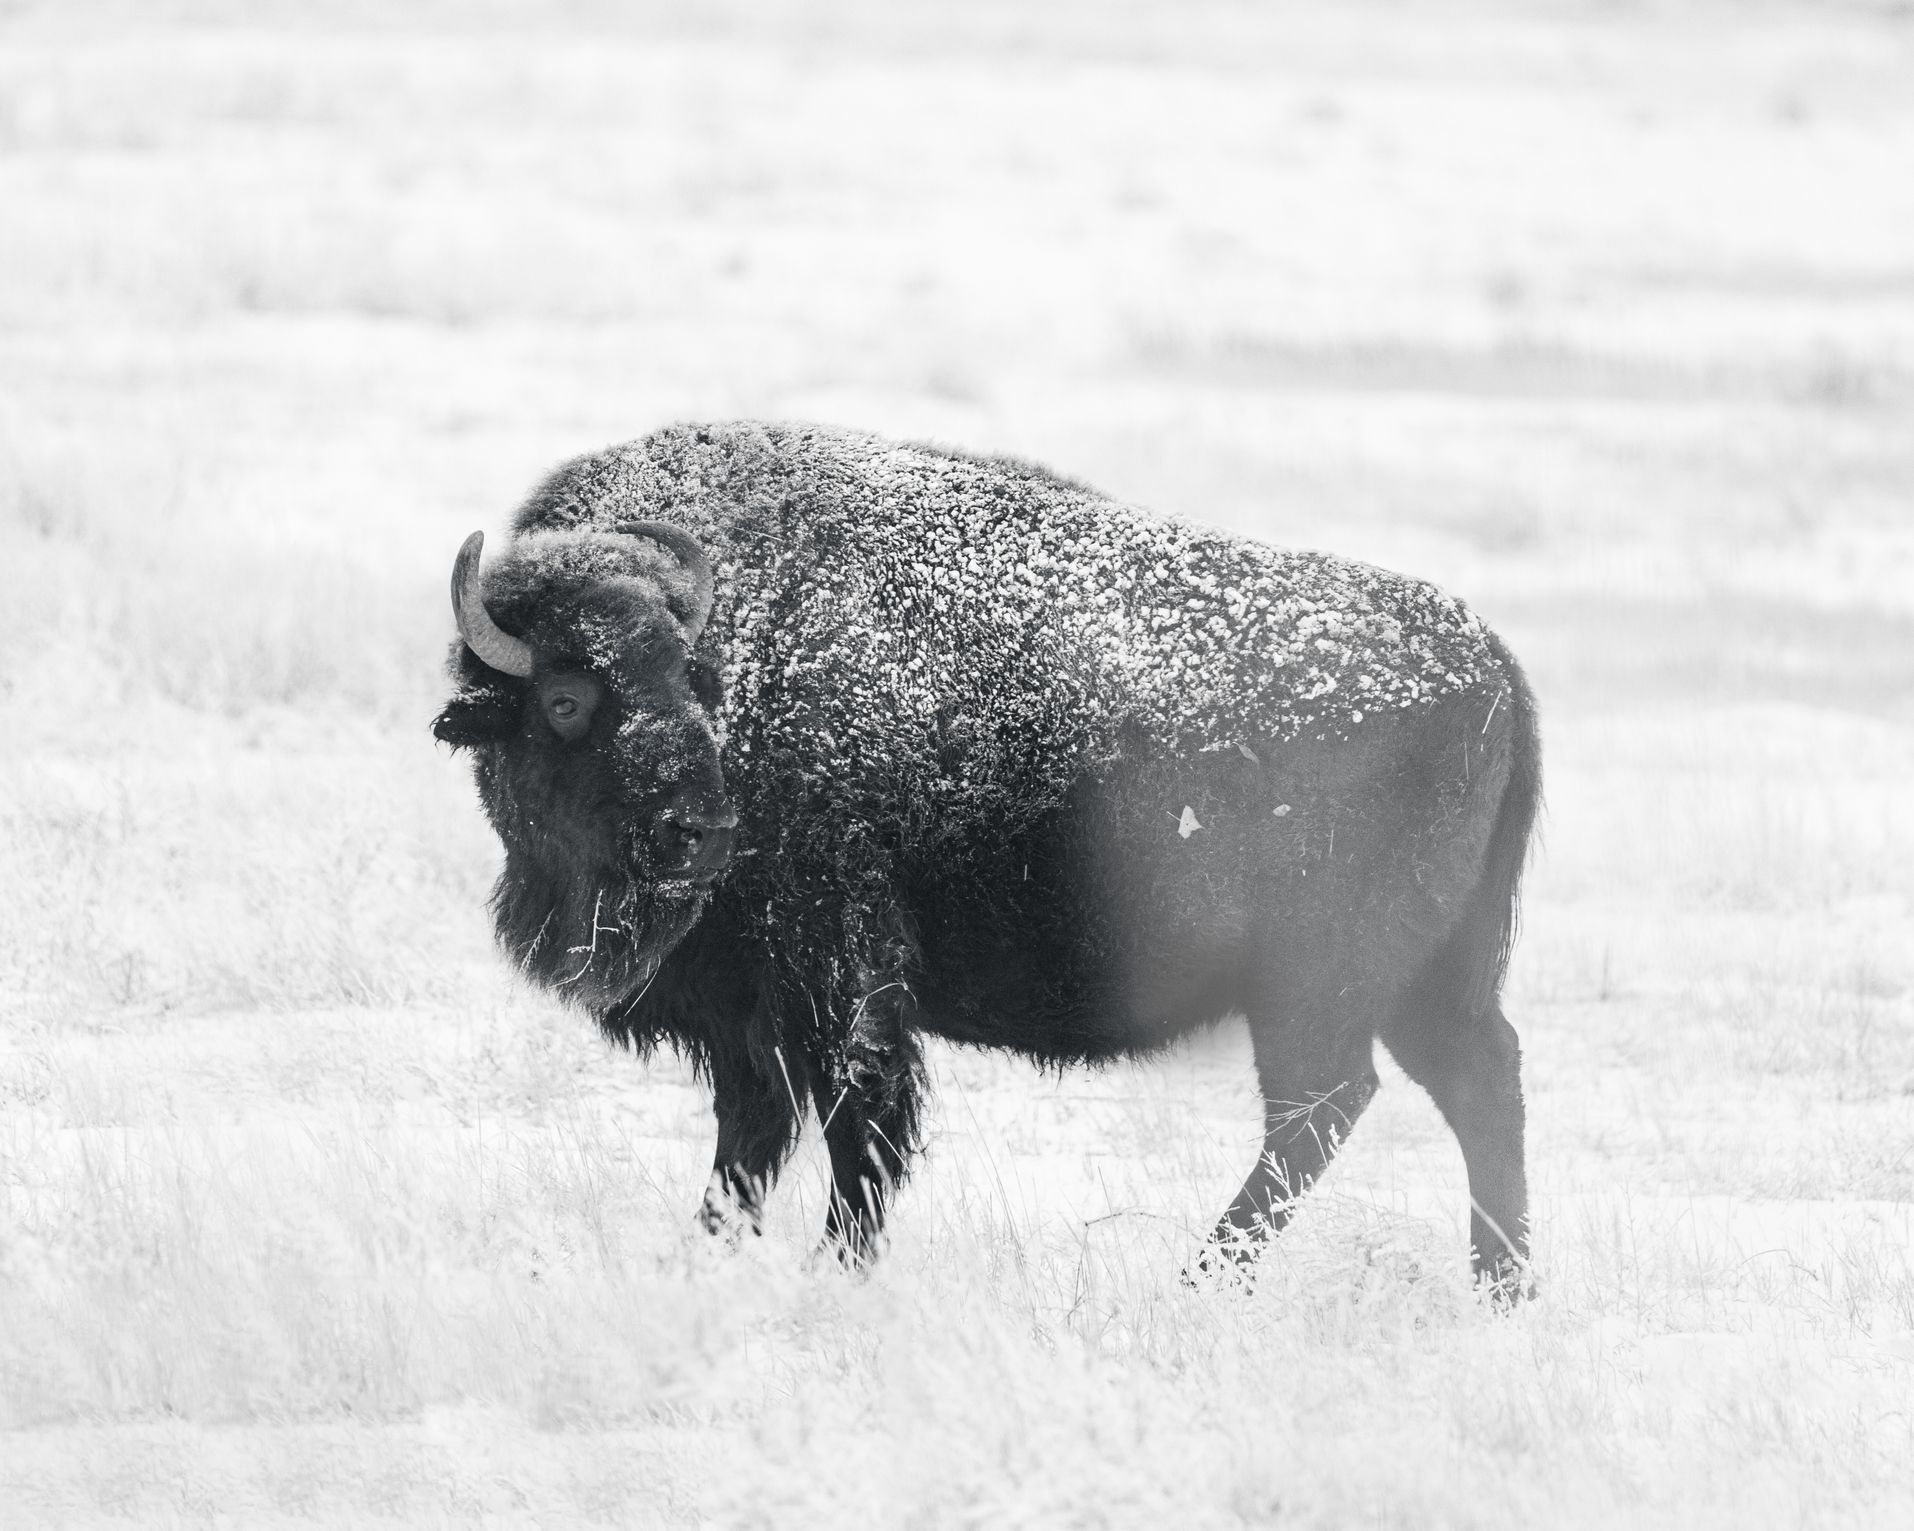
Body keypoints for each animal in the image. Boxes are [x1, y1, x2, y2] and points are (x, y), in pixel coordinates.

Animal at [433, 421, 1541, 1292]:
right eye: (567, 699)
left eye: (695, 683)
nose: (697, 831)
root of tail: (1492, 663)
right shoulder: (752, 1020)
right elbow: (749, 1150)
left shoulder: (837, 979)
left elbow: (857, 1125)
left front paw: (838, 1269)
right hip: (1427, 980)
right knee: (1476, 1083)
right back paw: (1499, 1291)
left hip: (1319, 990)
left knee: (1325, 1108)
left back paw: (1200, 1283)